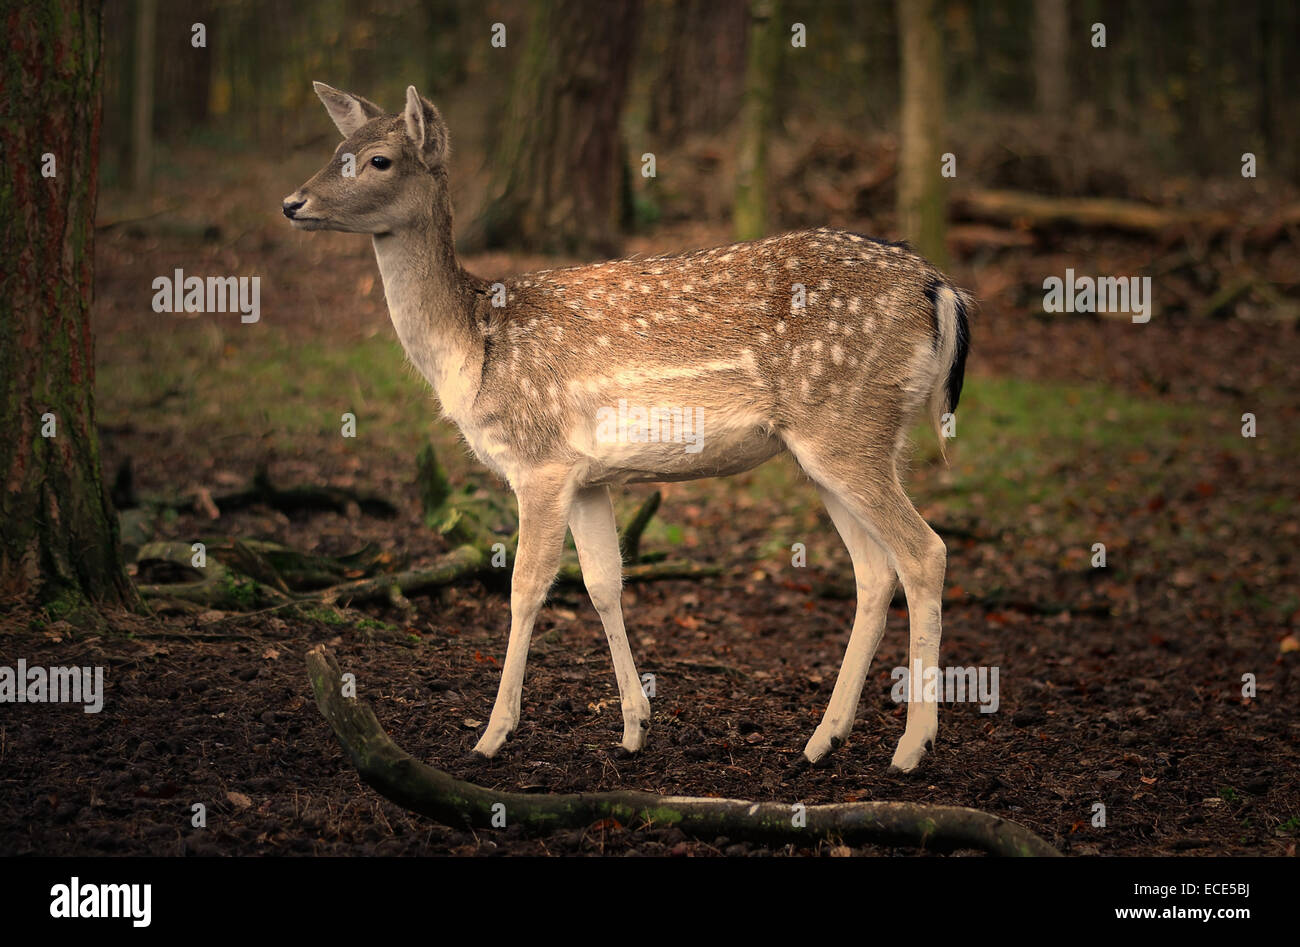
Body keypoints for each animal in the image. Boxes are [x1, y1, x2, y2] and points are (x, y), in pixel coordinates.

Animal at [283, 83, 974, 773]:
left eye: (378, 159)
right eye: (337, 148)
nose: (293, 202)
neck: (474, 350)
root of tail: (941, 289)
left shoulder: (539, 459)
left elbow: (526, 587)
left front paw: (492, 734)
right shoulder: (588, 476)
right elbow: (603, 584)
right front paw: (635, 726)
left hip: (845, 426)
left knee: (925, 552)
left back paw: (912, 745)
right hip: (841, 443)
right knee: (874, 571)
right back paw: (822, 739)